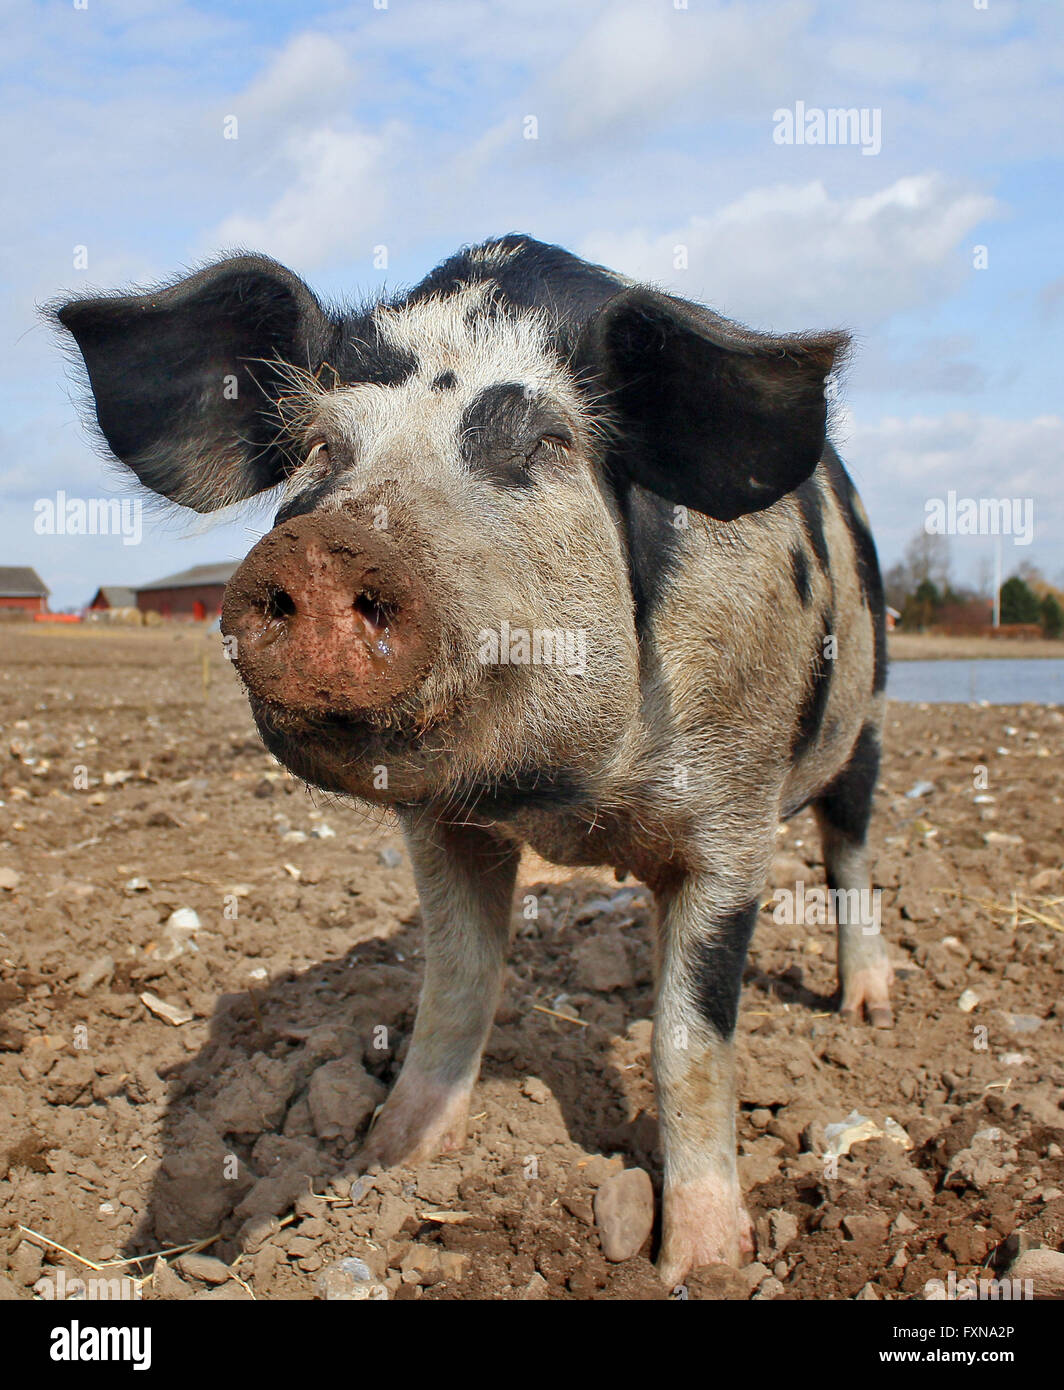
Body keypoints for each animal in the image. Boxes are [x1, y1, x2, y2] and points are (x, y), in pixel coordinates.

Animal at [54, 234, 892, 1287]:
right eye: (322, 446)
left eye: (546, 443)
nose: (328, 548)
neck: (564, 800)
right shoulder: (443, 827)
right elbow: (455, 985)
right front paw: (388, 1158)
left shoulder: (732, 818)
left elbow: (689, 1043)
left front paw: (701, 1265)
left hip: (865, 717)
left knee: (851, 848)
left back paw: (864, 1011)